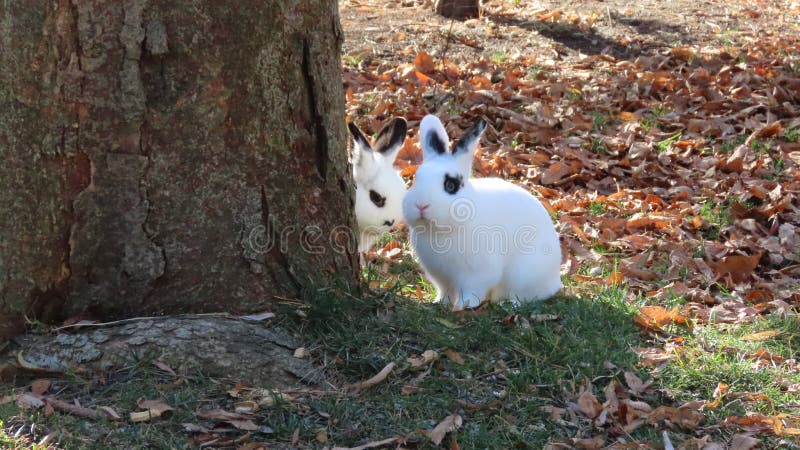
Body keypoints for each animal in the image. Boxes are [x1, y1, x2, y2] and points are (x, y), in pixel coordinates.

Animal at [402, 114, 562, 311]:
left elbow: (472, 292)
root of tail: (555, 279)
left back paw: (508, 304)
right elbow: (446, 291)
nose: (421, 205)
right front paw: (439, 303)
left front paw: (463, 306)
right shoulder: (441, 276)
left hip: (524, 275)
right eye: (417, 178)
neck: (441, 232)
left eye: (451, 185)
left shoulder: (477, 275)